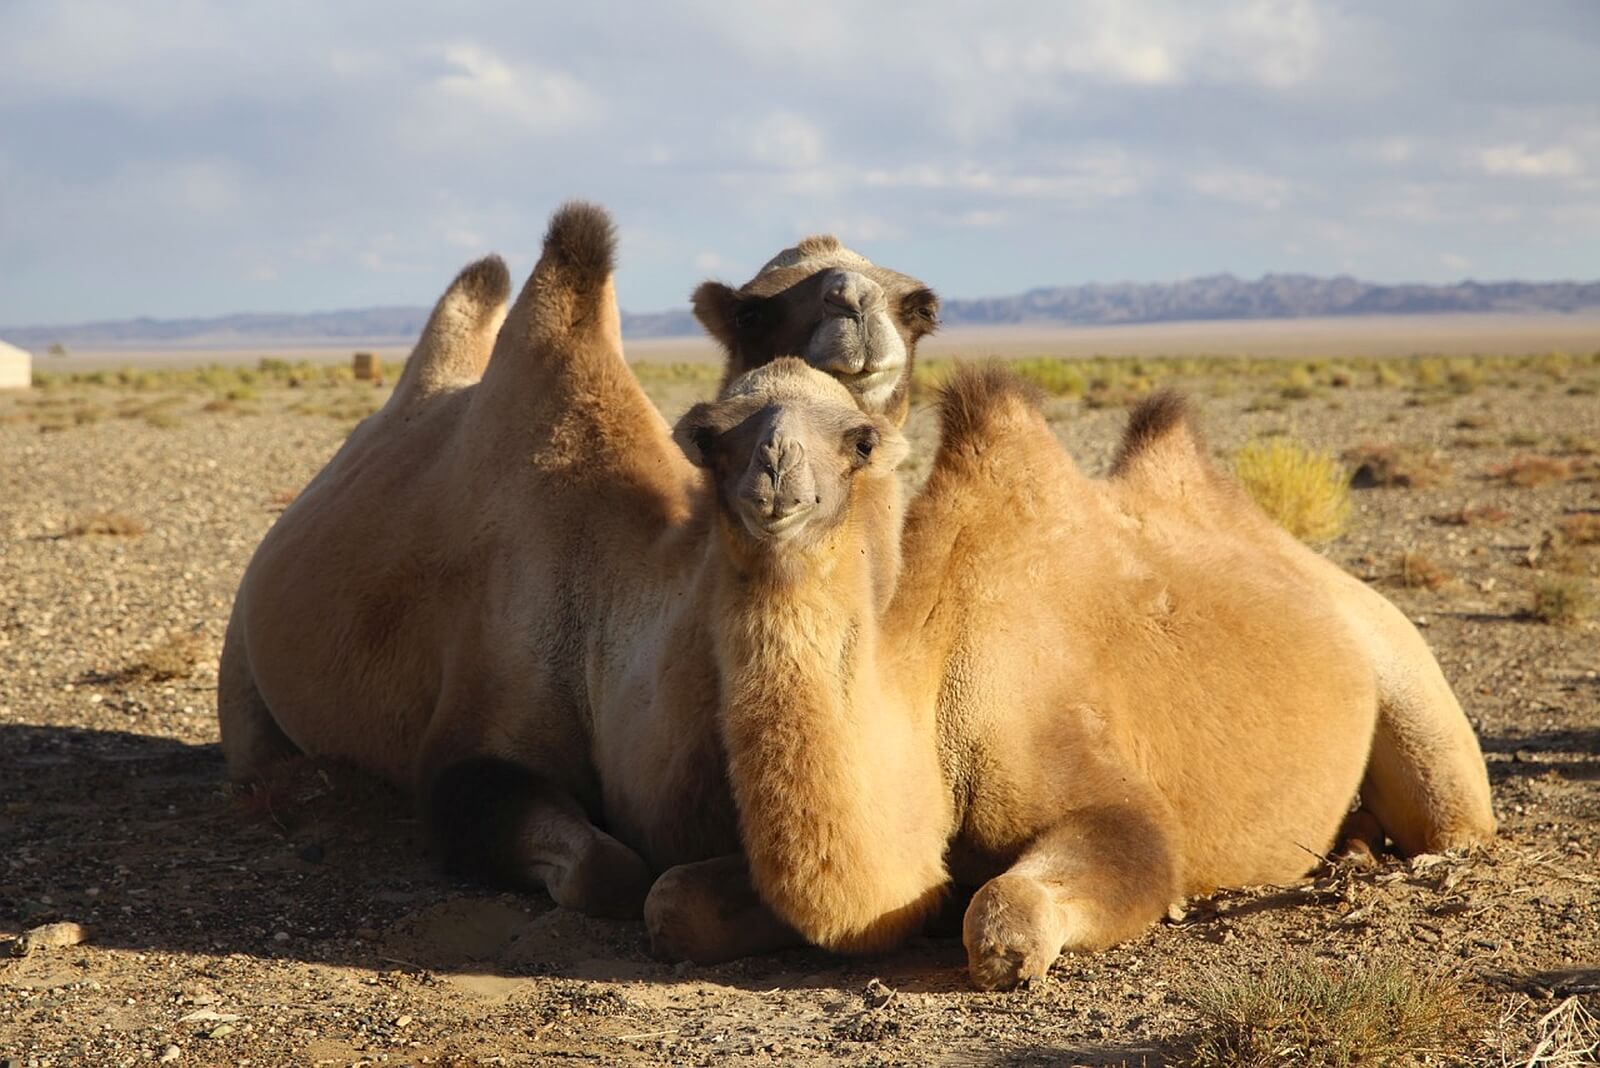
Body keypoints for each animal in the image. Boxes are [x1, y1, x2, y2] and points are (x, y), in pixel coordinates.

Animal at [217, 204, 938, 931]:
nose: (854, 300)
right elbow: (608, 868)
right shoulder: (472, 742)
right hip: (243, 654)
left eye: (921, 308)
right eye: (753, 312)